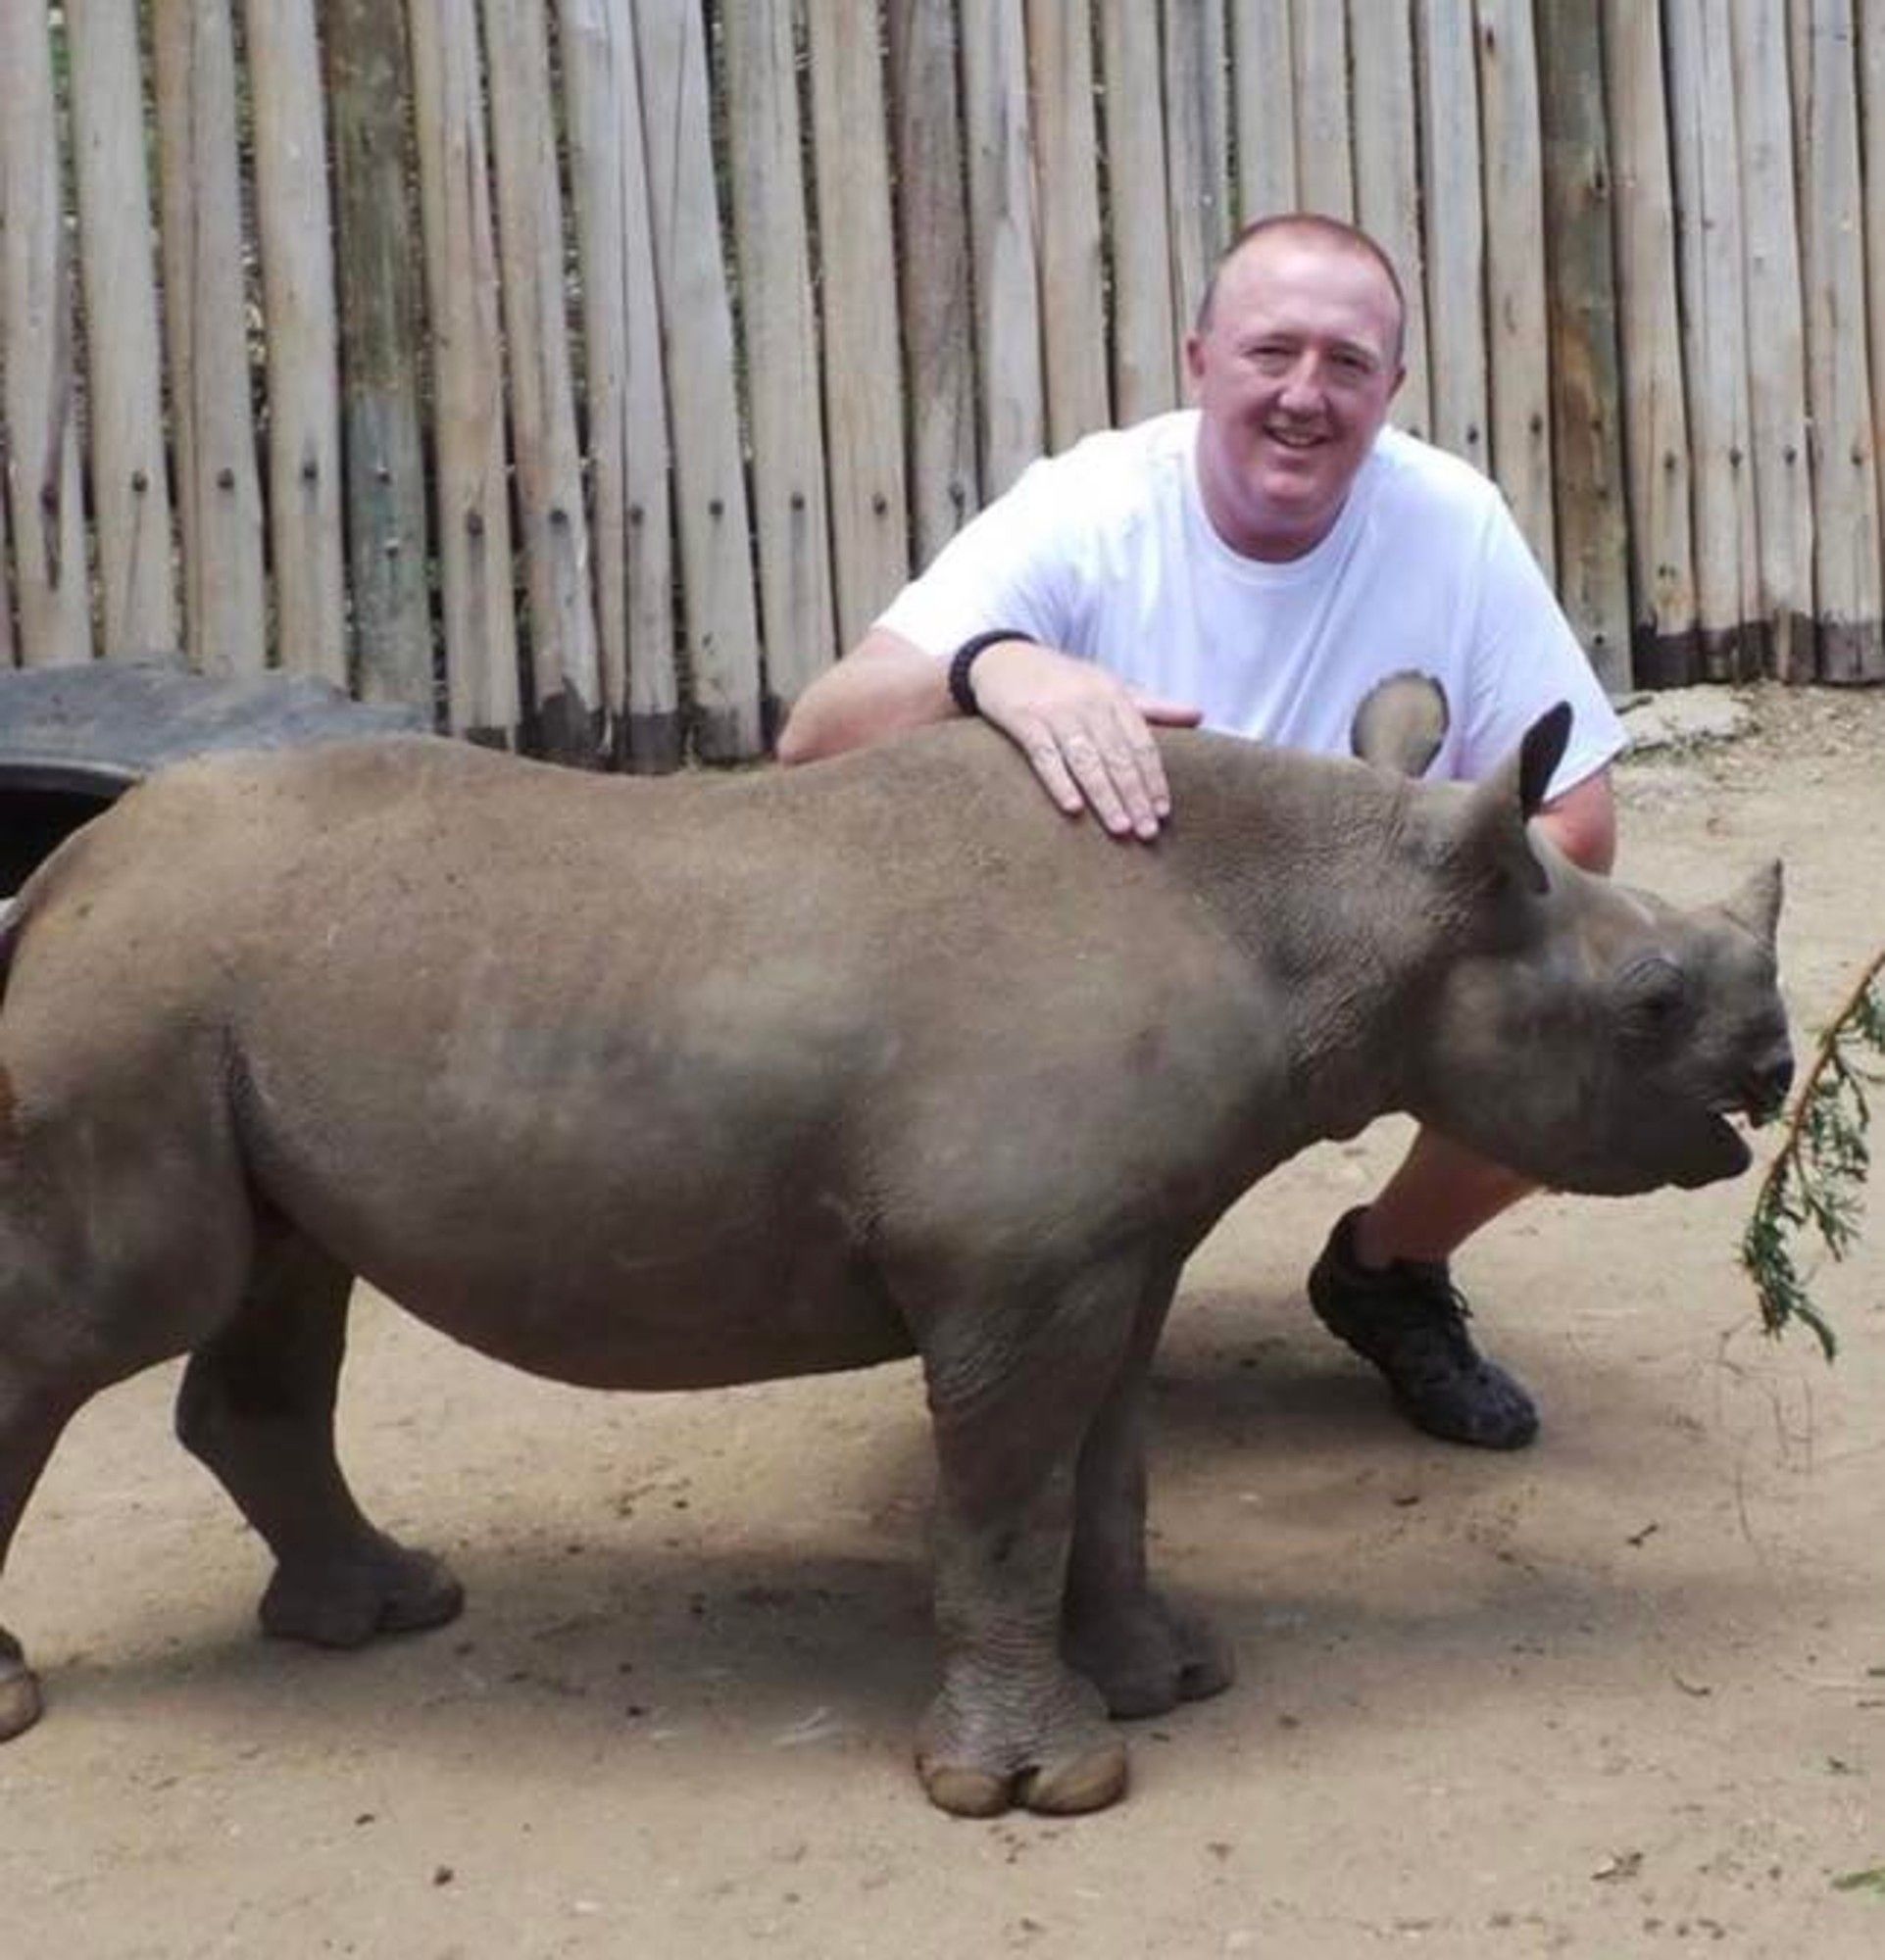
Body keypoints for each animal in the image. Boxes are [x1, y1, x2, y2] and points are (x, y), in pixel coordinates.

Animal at [0, 690, 1790, 1815]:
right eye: (1646, 1008)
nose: (1772, 1072)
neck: (1329, 916)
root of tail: (71, 866)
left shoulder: (1111, 1247)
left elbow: (1107, 1470)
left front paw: (1162, 1680)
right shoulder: (1015, 1274)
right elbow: (1005, 1497)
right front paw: (1040, 1786)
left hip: (208, 1001)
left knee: (278, 1281)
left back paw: (389, 1613)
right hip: (135, 997)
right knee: (120, 1312)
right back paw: (29, 1700)